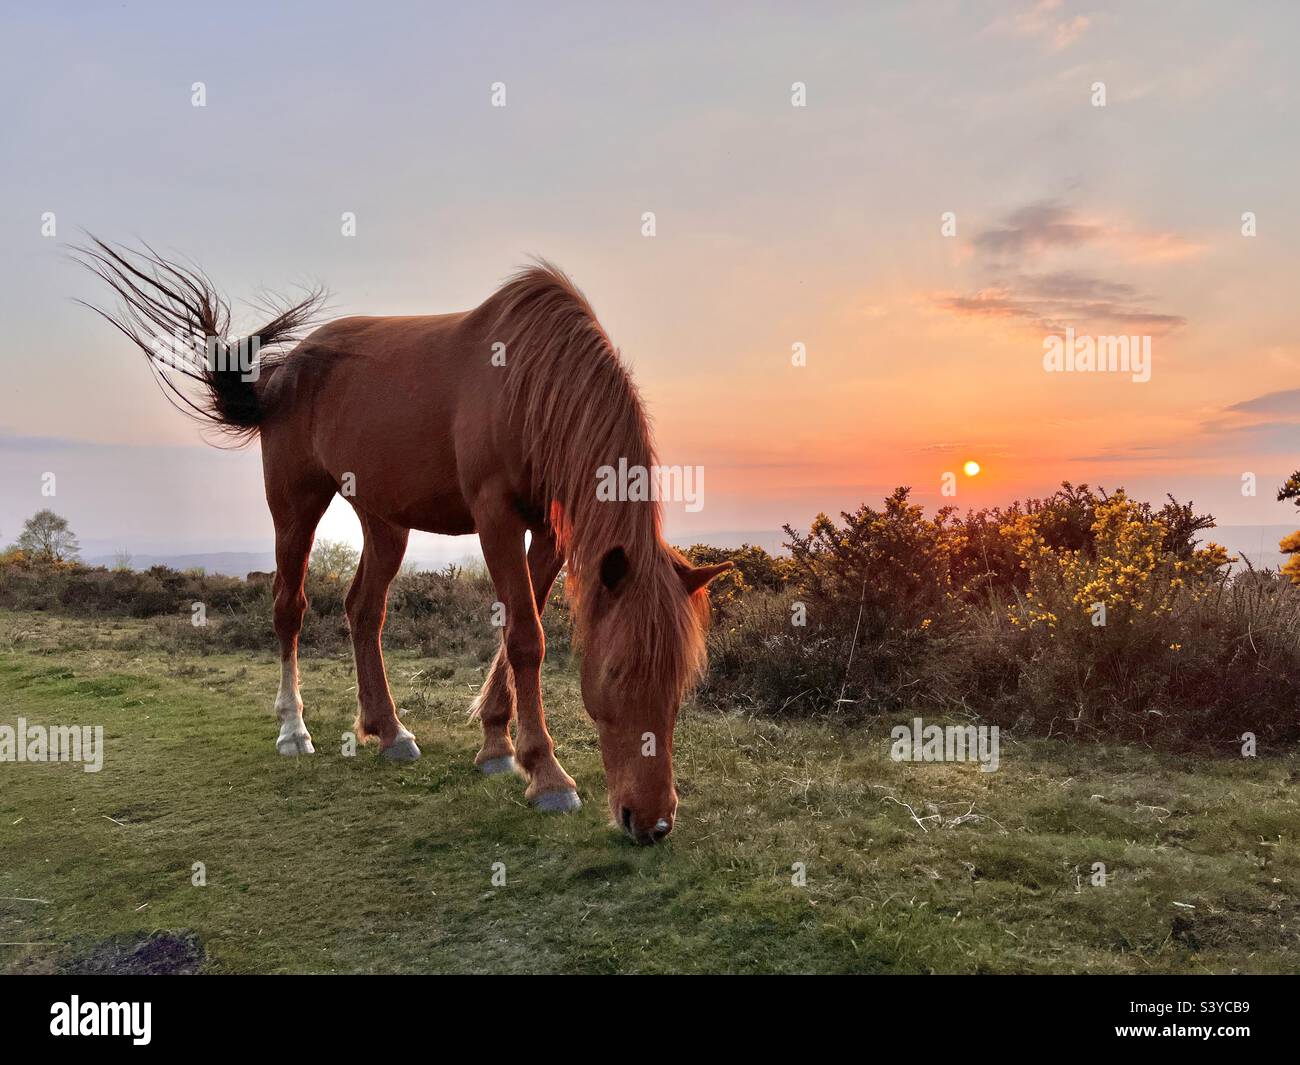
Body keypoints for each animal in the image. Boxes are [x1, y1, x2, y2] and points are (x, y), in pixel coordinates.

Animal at [75, 239, 731, 844]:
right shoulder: (495, 515)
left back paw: (388, 729)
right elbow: (525, 637)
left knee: (363, 610)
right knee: (290, 607)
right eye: (617, 672)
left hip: (383, 521)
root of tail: (282, 374)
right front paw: (546, 775)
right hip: (295, 504)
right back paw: (294, 729)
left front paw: (496, 744)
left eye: (681, 681)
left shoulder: (549, 531)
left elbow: (522, 625)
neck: (529, 383)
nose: (652, 822)